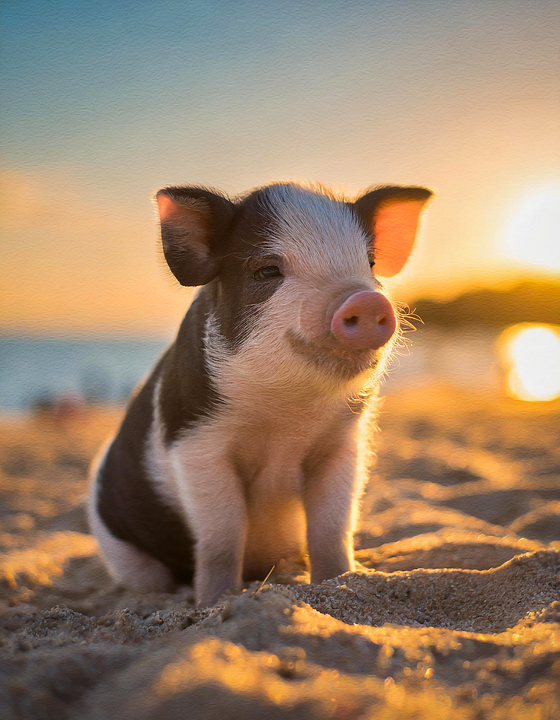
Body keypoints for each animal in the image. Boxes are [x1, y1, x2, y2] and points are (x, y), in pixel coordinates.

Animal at [88, 182, 432, 607]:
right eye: (267, 270)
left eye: (368, 263)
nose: (365, 300)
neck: (286, 418)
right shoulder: (194, 441)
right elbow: (223, 535)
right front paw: (214, 602)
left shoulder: (342, 447)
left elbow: (332, 527)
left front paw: (342, 581)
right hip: (122, 551)